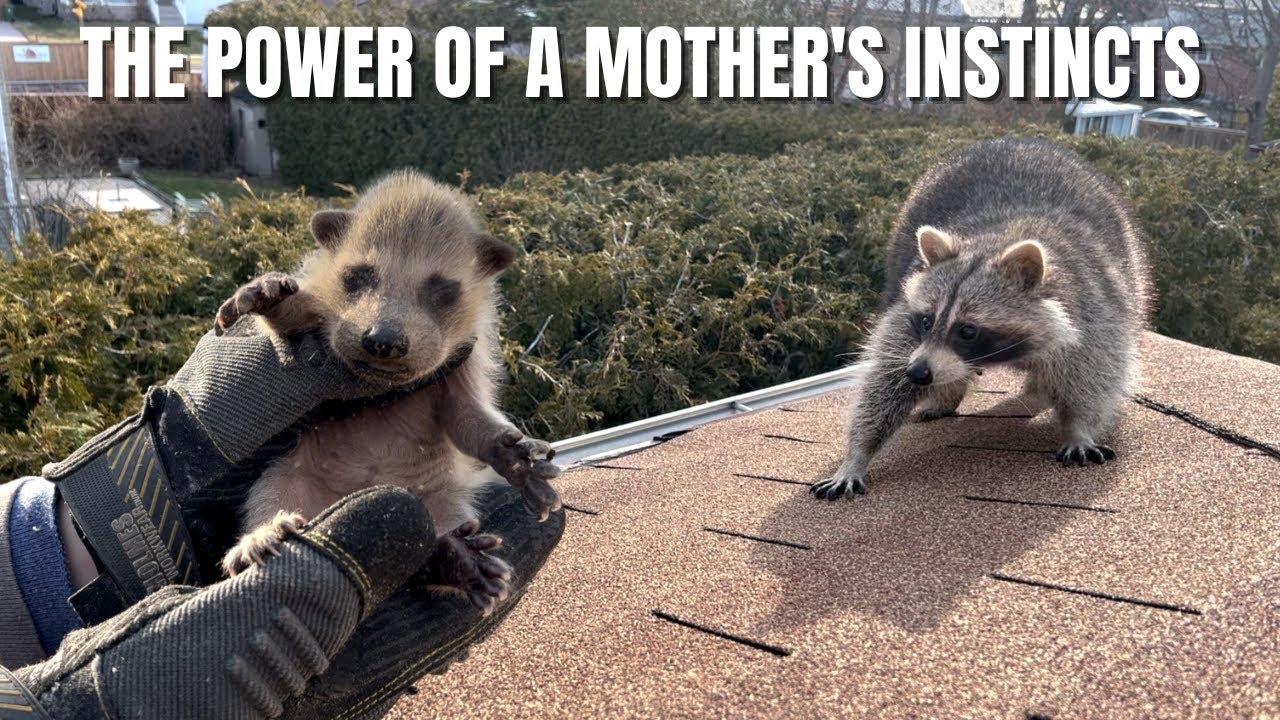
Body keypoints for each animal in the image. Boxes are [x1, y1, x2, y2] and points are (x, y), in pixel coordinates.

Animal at [215, 170, 562, 613]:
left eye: (442, 290)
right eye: (358, 276)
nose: (384, 340)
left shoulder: (462, 359)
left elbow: (466, 417)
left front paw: (514, 456)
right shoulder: (327, 309)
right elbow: (297, 316)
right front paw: (269, 294)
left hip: (434, 499)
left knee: (432, 532)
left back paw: (451, 558)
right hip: (293, 477)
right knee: (270, 495)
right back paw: (262, 536)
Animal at [811, 137, 1151, 500]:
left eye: (968, 331)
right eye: (926, 321)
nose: (918, 372)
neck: (993, 242)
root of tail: (1019, 140)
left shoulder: (1094, 312)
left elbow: (1095, 375)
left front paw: (1079, 428)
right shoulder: (906, 321)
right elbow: (884, 382)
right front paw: (858, 453)